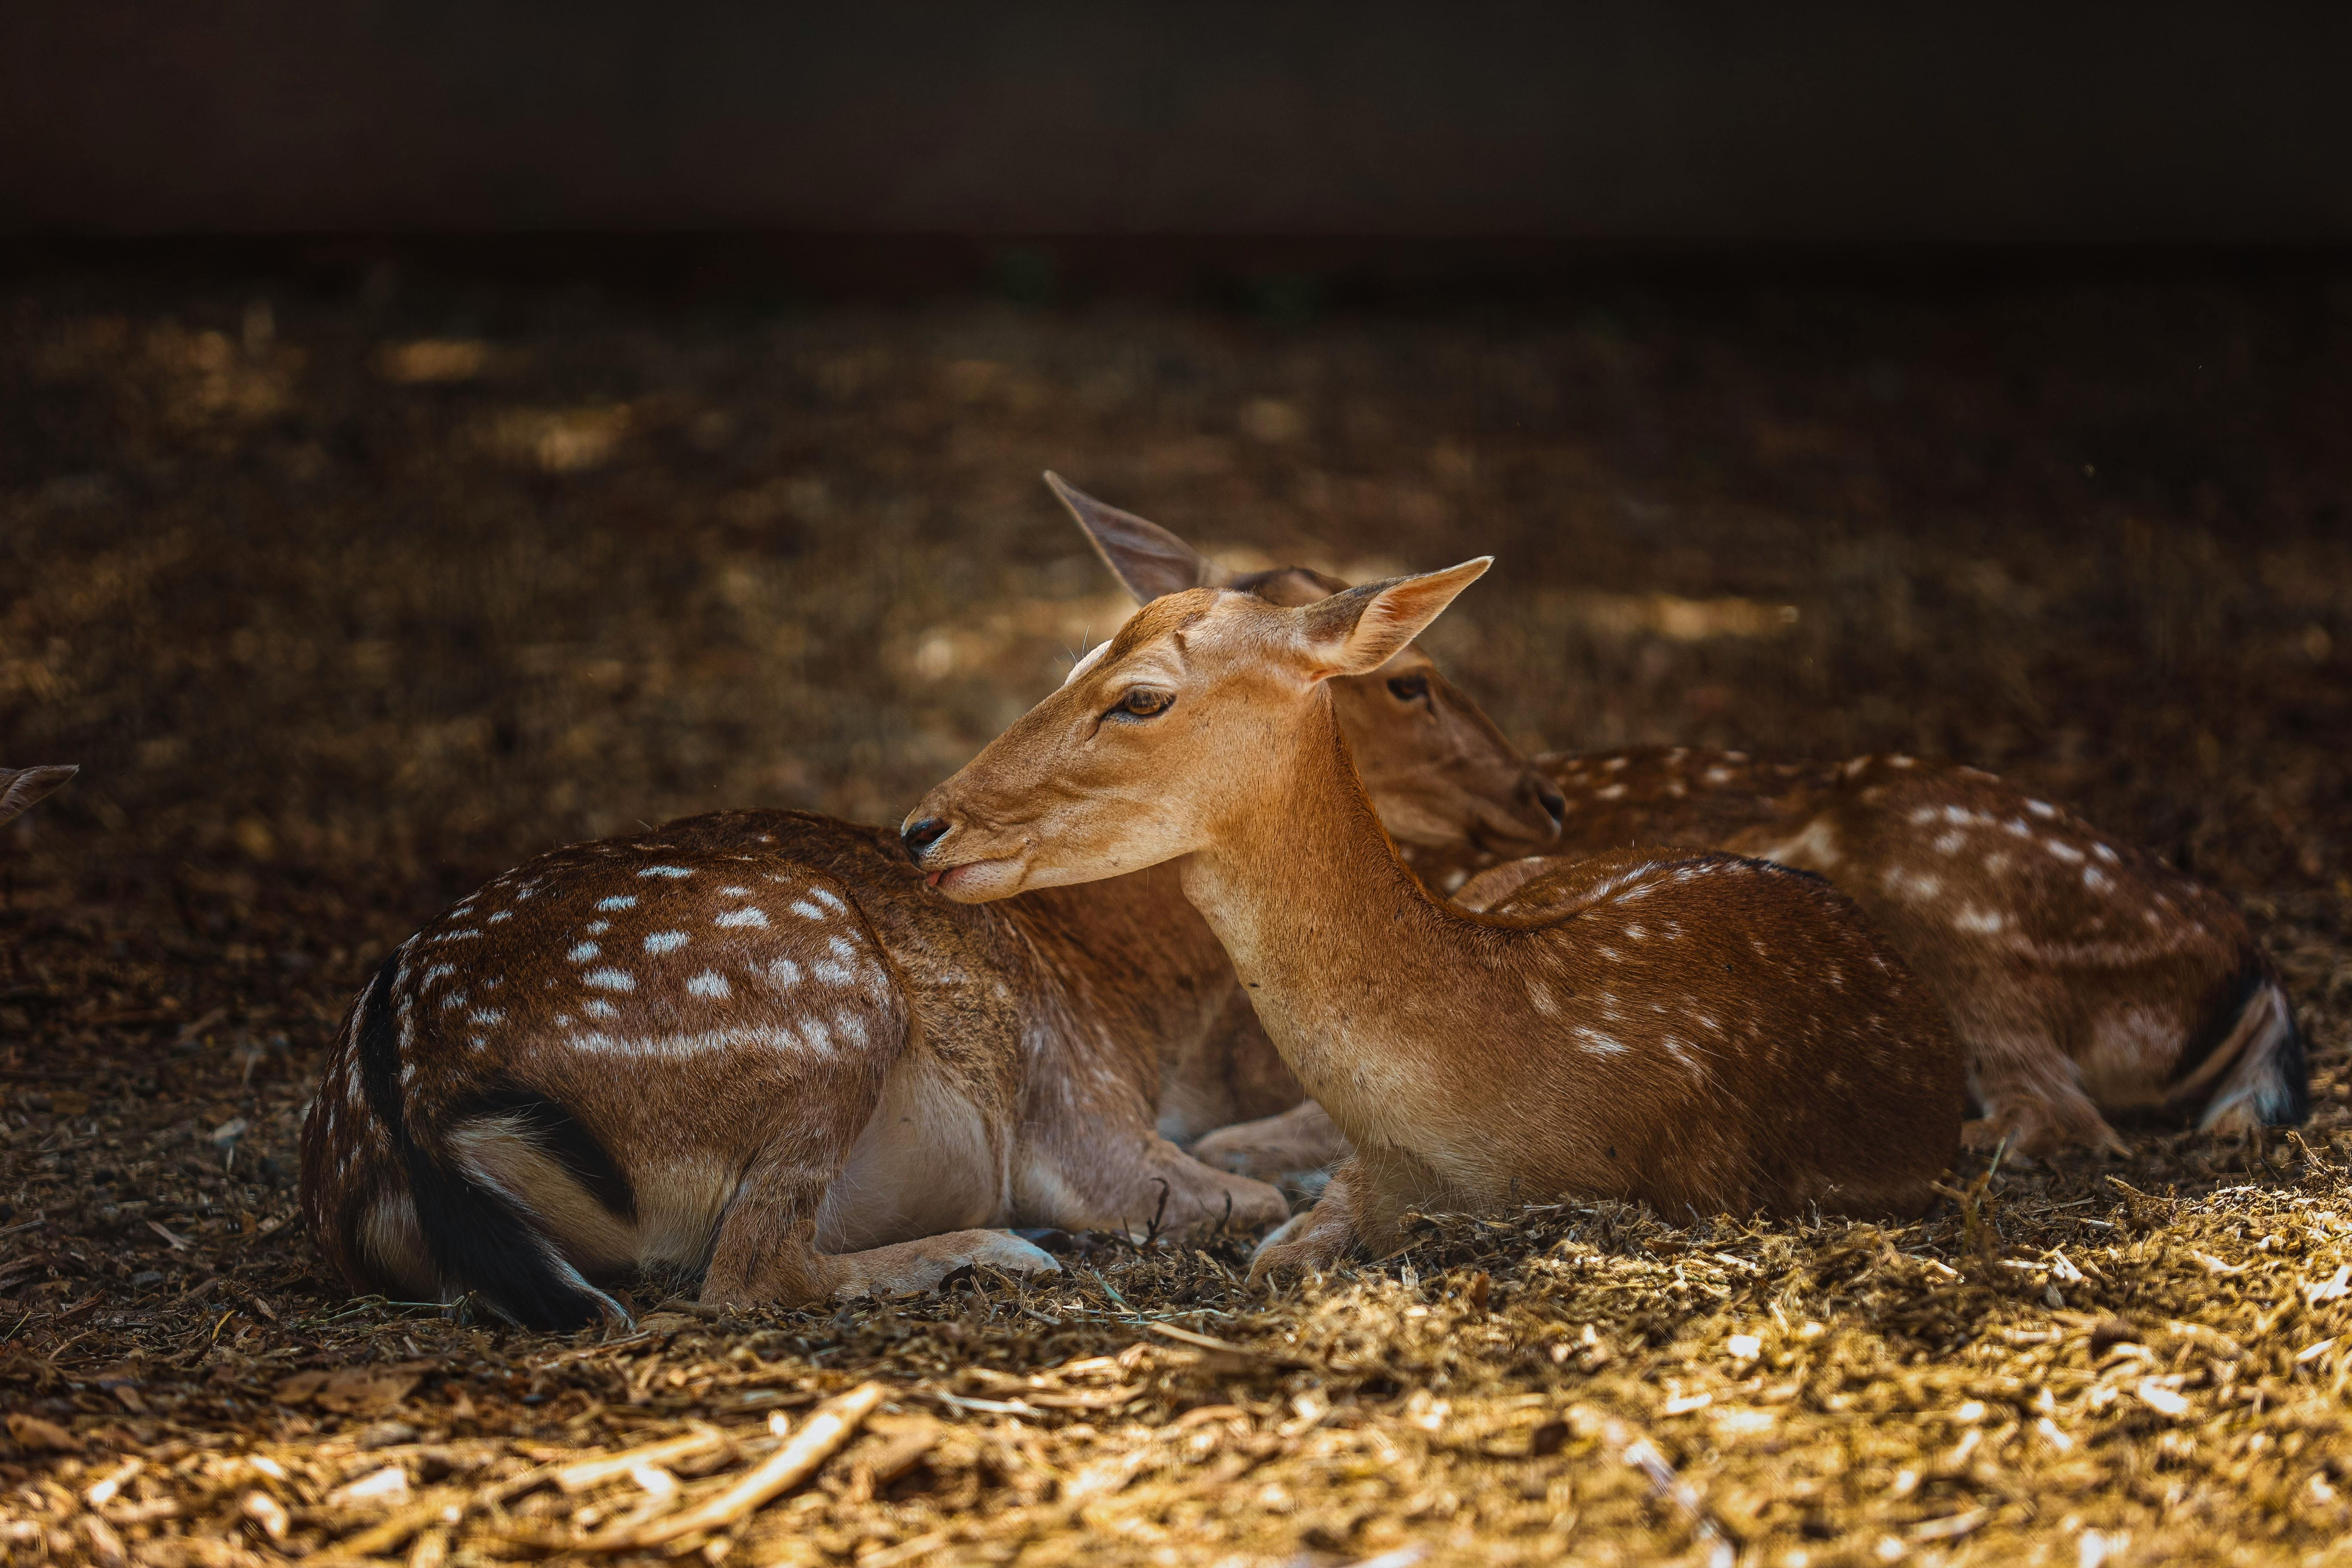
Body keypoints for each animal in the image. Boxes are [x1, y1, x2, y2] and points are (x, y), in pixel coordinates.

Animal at [298, 479, 1566, 1330]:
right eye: (1411, 682)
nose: (1542, 795)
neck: (1144, 1002)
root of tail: (401, 1103)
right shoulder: (1090, 1126)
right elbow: (1247, 1185)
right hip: (821, 1004)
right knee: (749, 1275)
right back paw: (999, 1251)